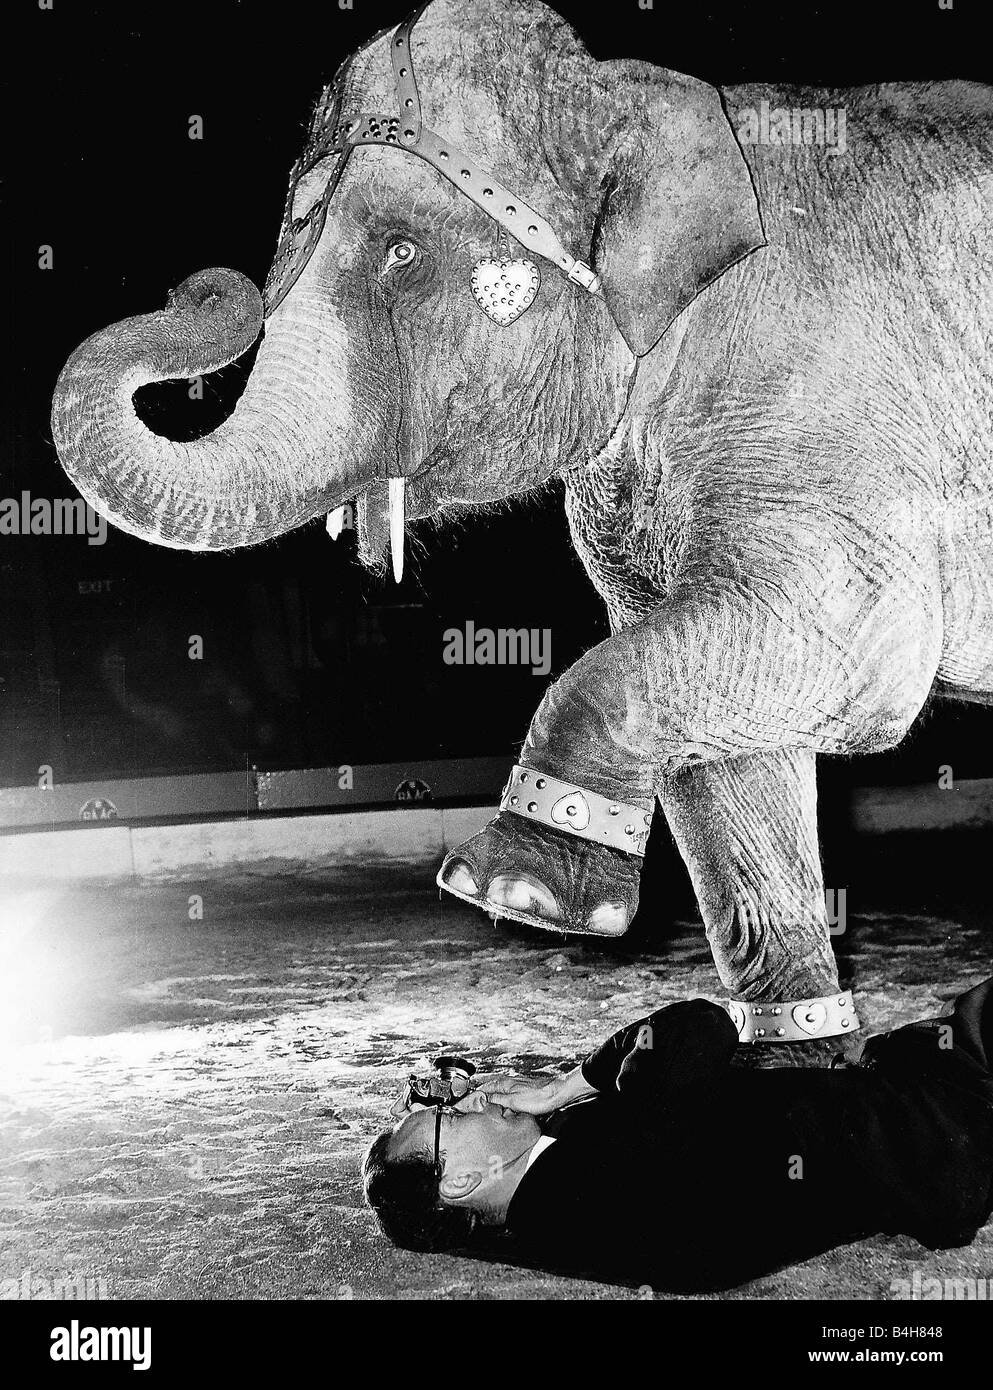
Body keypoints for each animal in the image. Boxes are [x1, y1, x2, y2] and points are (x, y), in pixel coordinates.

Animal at [51, 0, 993, 1057]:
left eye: (401, 252)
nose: (202, 288)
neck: (655, 100)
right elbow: (726, 739)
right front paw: (798, 1057)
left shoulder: (830, 416)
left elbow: (858, 660)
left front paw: (517, 892)